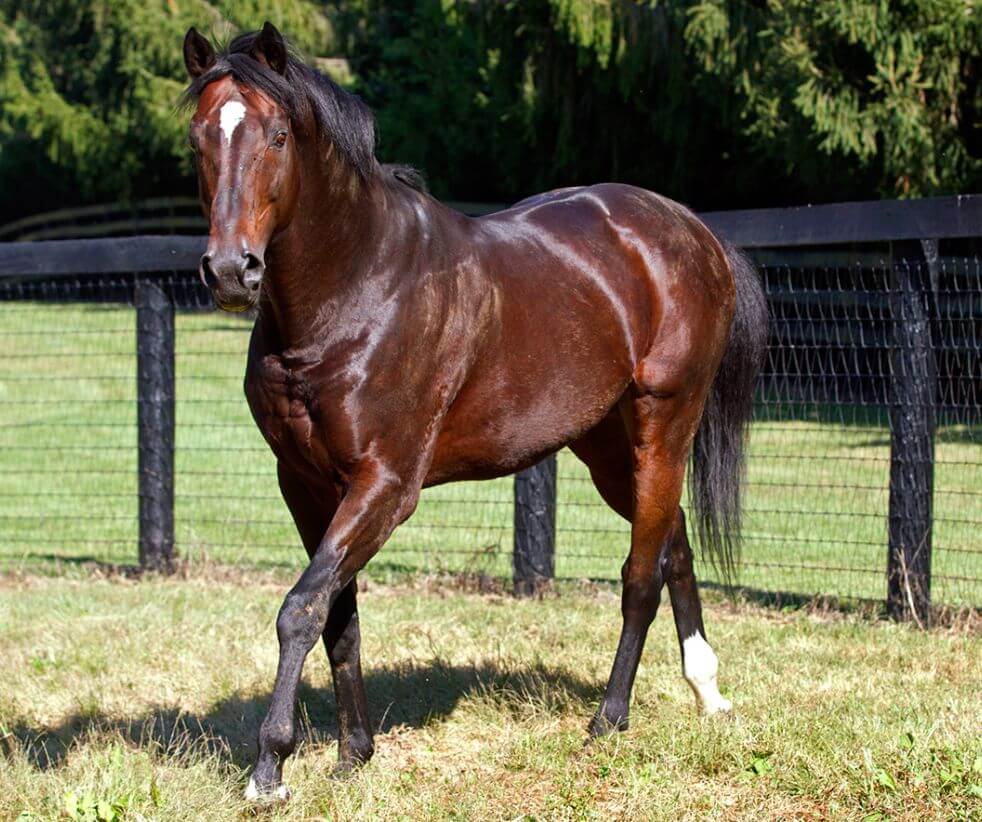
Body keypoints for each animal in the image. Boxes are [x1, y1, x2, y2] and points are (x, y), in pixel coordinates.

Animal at [181, 22, 768, 802]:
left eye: (277, 134)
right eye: (198, 138)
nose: (230, 271)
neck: (357, 289)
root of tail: (694, 233)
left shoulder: (385, 485)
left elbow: (300, 608)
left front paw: (270, 767)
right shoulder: (304, 485)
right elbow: (338, 615)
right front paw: (353, 753)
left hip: (665, 425)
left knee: (641, 575)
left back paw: (609, 720)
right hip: (611, 450)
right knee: (673, 543)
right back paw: (707, 691)